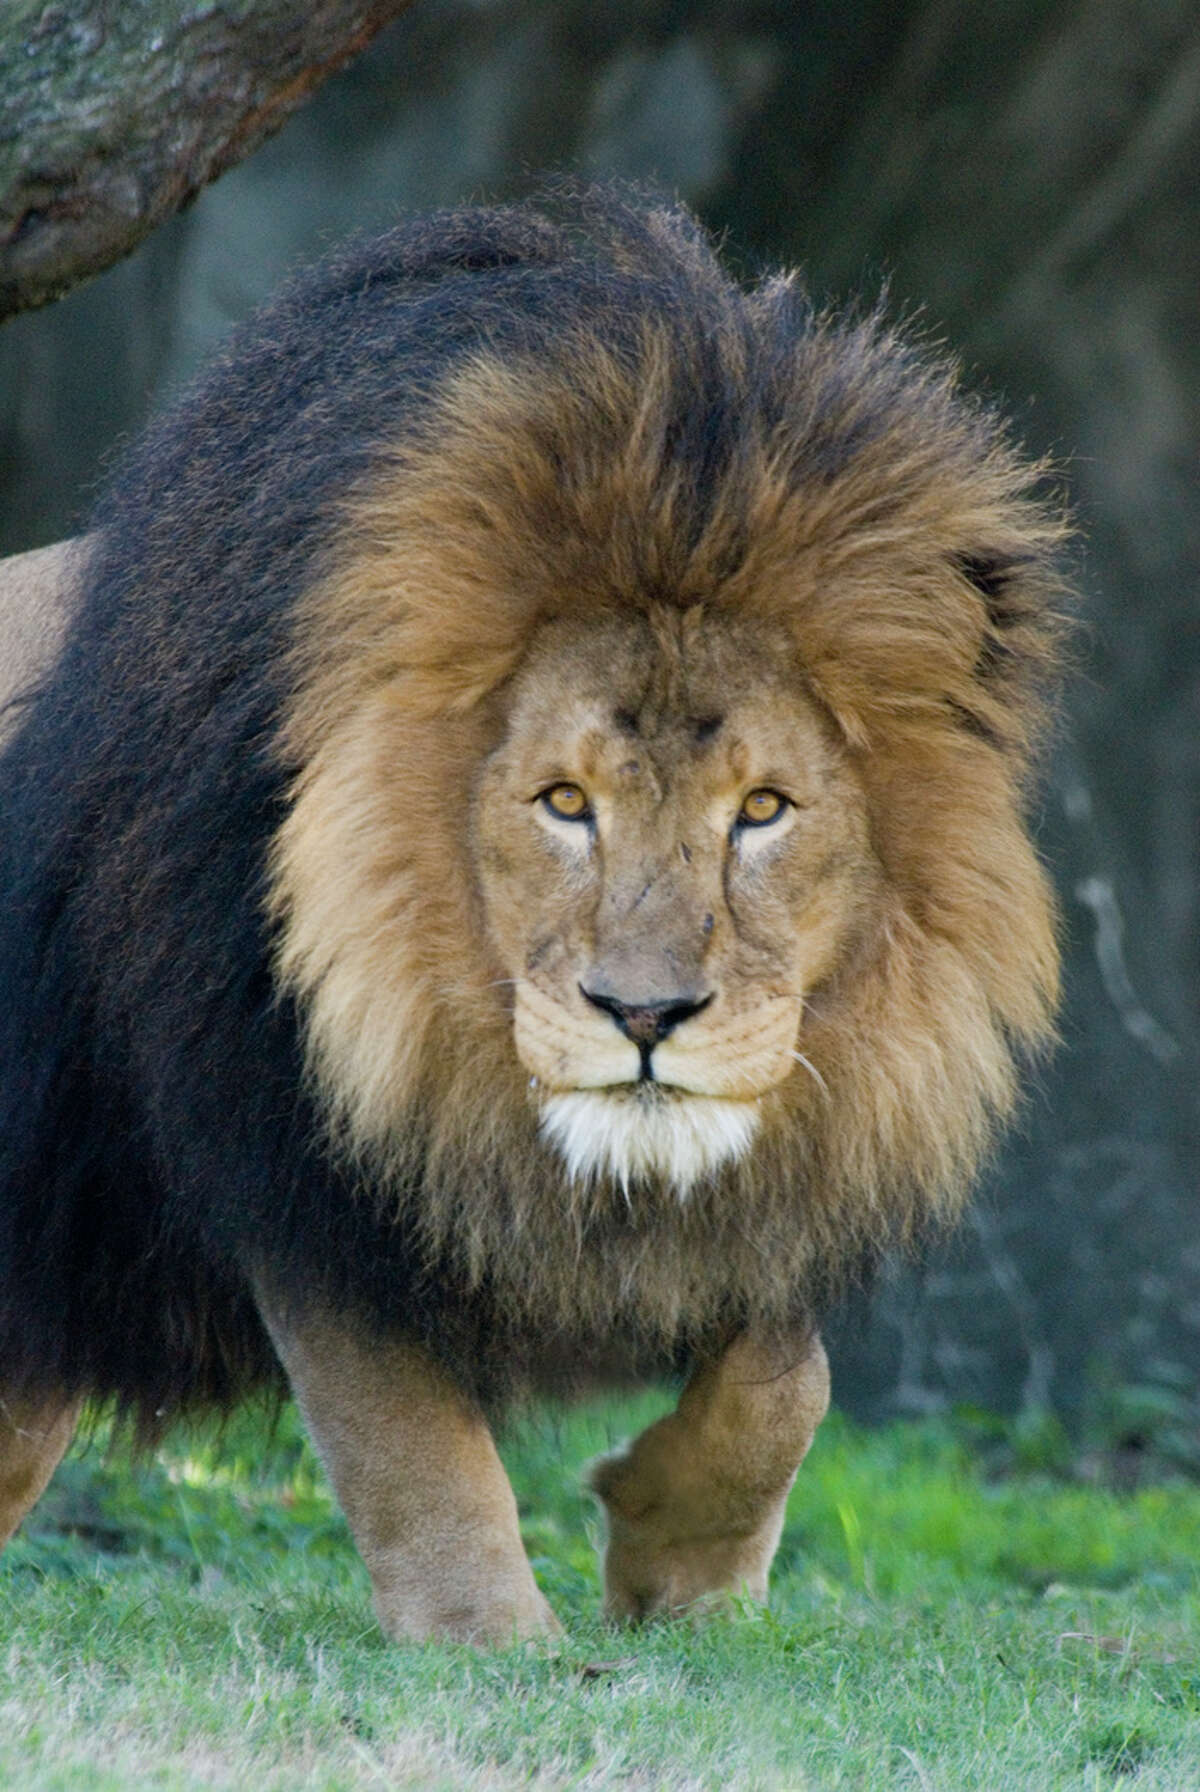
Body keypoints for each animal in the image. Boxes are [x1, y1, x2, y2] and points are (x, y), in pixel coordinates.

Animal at [0, 189, 1068, 1643]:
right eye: (565, 802)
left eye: (764, 810)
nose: (646, 1016)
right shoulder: (296, 1142)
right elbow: (409, 1437)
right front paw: (491, 1645)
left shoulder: (782, 1145)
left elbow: (785, 1373)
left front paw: (683, 1571)